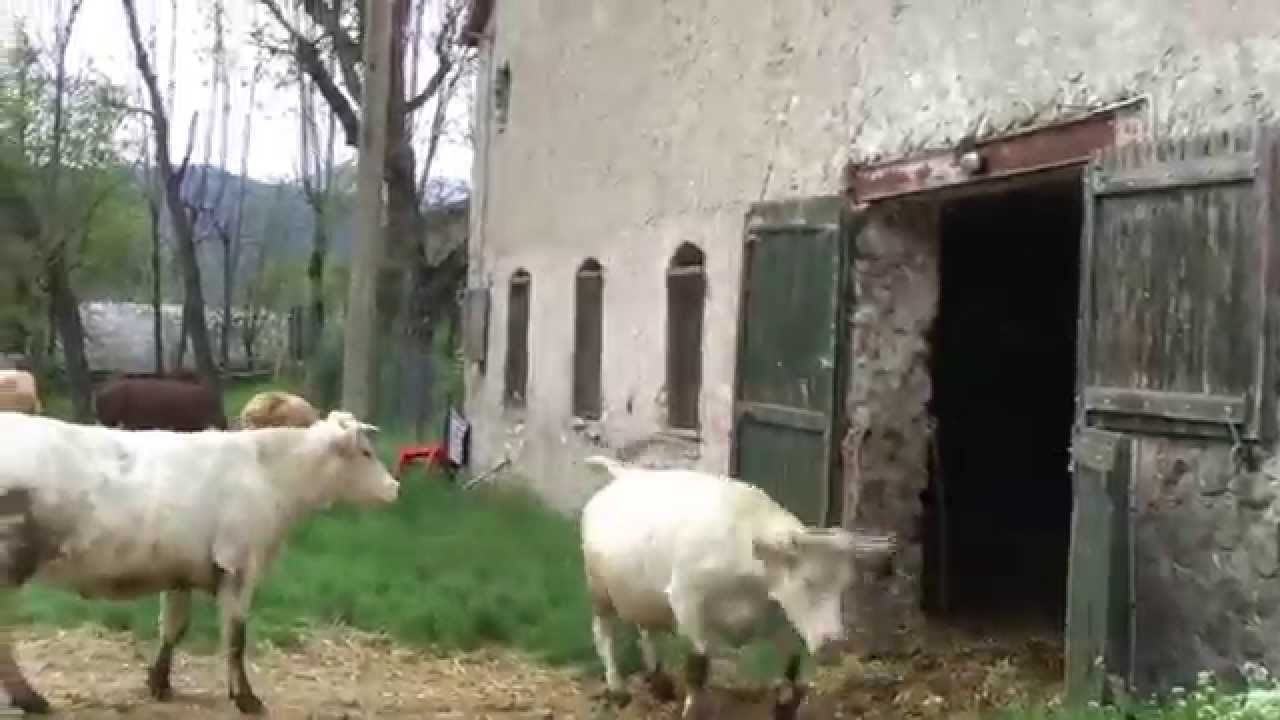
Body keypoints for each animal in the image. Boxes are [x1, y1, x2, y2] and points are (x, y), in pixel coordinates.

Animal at [0, 410, 399, 715]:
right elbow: (235, 639)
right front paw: (246, 699)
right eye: (365, 452)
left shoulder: (180, 573)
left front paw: (158, 684)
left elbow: (173, 629)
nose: (395, 487)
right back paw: (31, 700)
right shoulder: (240, 566)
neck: (270, 474)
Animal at [581, 456, 897, 720]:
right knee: (603, 632)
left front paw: (784, 707)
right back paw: (618, 689)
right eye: (808, 582)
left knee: (646, 630)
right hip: (600, 592)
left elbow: (792, 667)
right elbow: (698, 665)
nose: (834, 643)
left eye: (845, 585)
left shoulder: (780, 614)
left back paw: (659, 683)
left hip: (643, 595)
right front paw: (693, 711)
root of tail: (624, 474)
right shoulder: (687, 601)